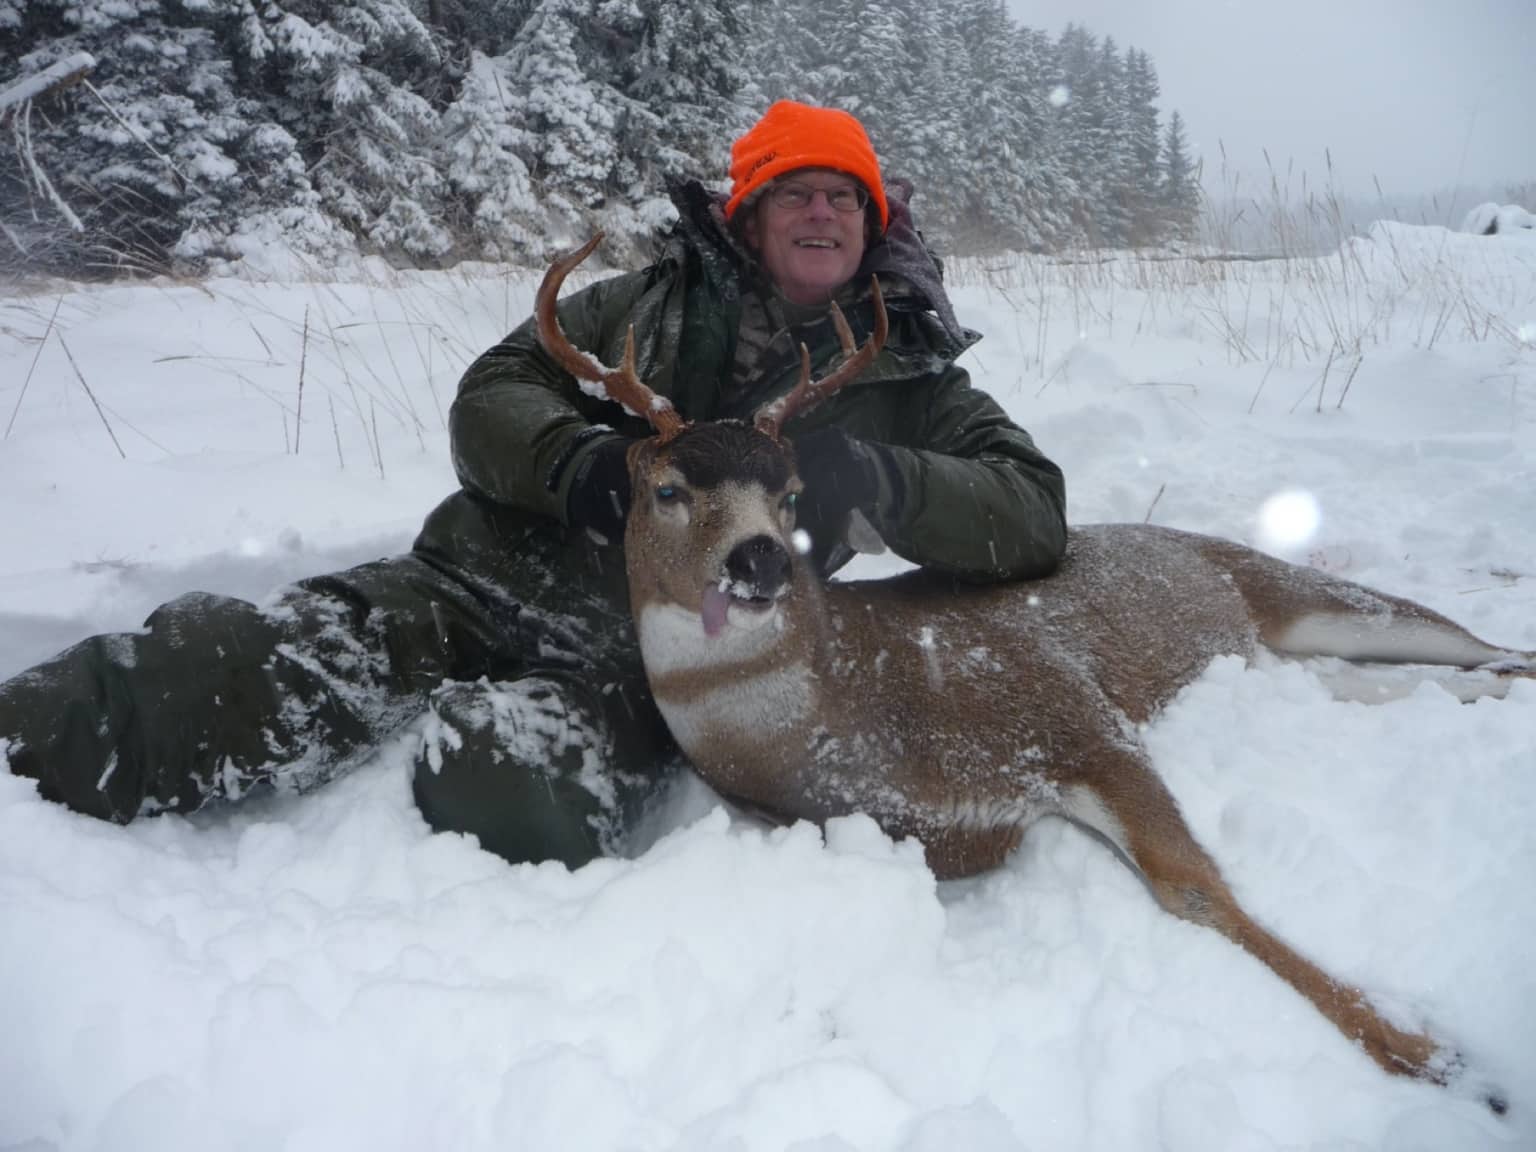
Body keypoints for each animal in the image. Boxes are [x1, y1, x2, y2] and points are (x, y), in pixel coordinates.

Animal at [536, 236, 1530, 1112]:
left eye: (789, 494)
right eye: (665, 490)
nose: (762, 560)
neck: (852, 705)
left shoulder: (1071, 708)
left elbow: (1193, 887)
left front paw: (1431, 1054)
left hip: (1302, 593)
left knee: (1476, 642)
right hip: (1288, 654)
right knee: (1400, 679)